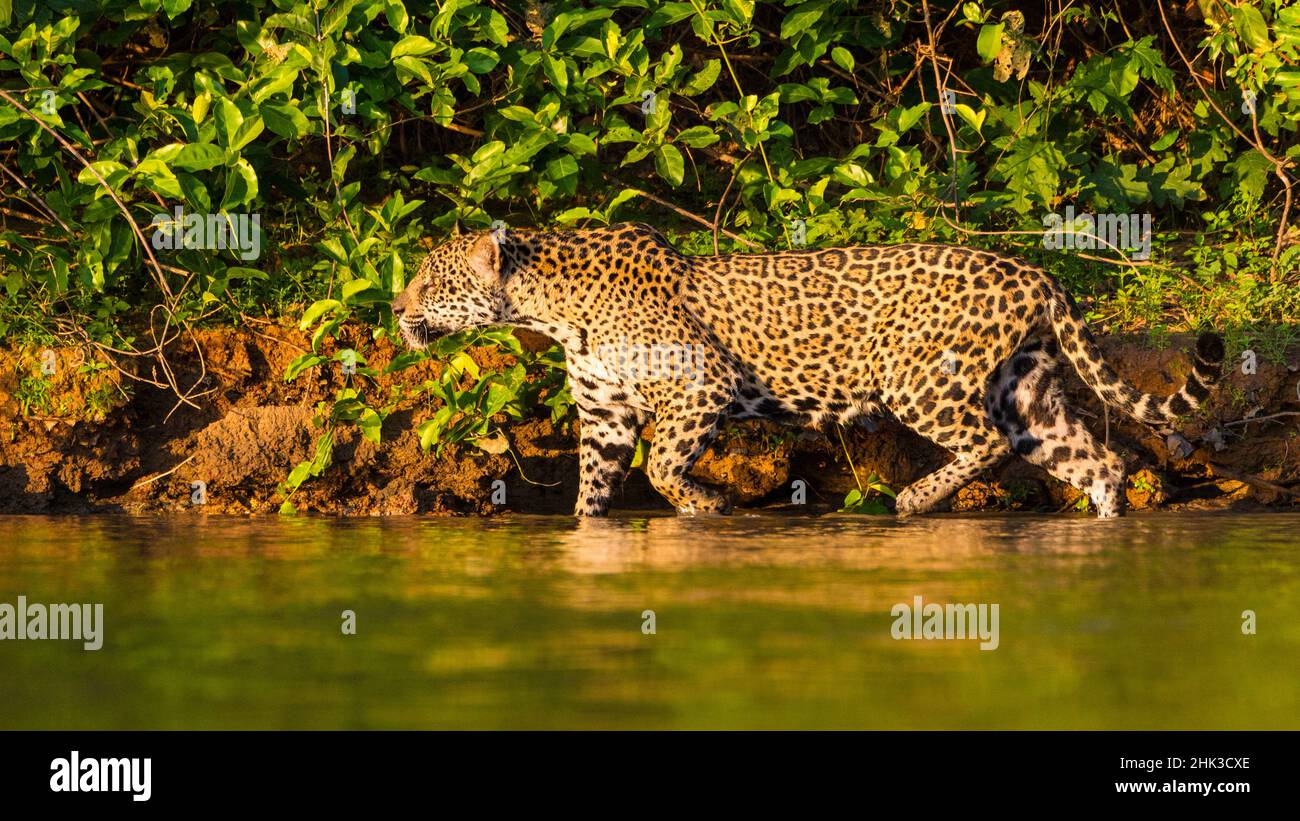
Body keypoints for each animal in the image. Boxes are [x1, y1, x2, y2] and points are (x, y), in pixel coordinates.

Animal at [391, 222, 1224, 519]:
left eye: (430, 282)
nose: (396, 311)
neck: (553, 308)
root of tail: (1033, 271)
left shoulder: (700, 384)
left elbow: (661, 465)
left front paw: (705, 503)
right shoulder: (602, 414)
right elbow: (596, 486)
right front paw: (590, 530)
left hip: (921, 379)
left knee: (983, 444)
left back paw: (913, 500)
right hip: (1030, 391)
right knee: (1098, 459)